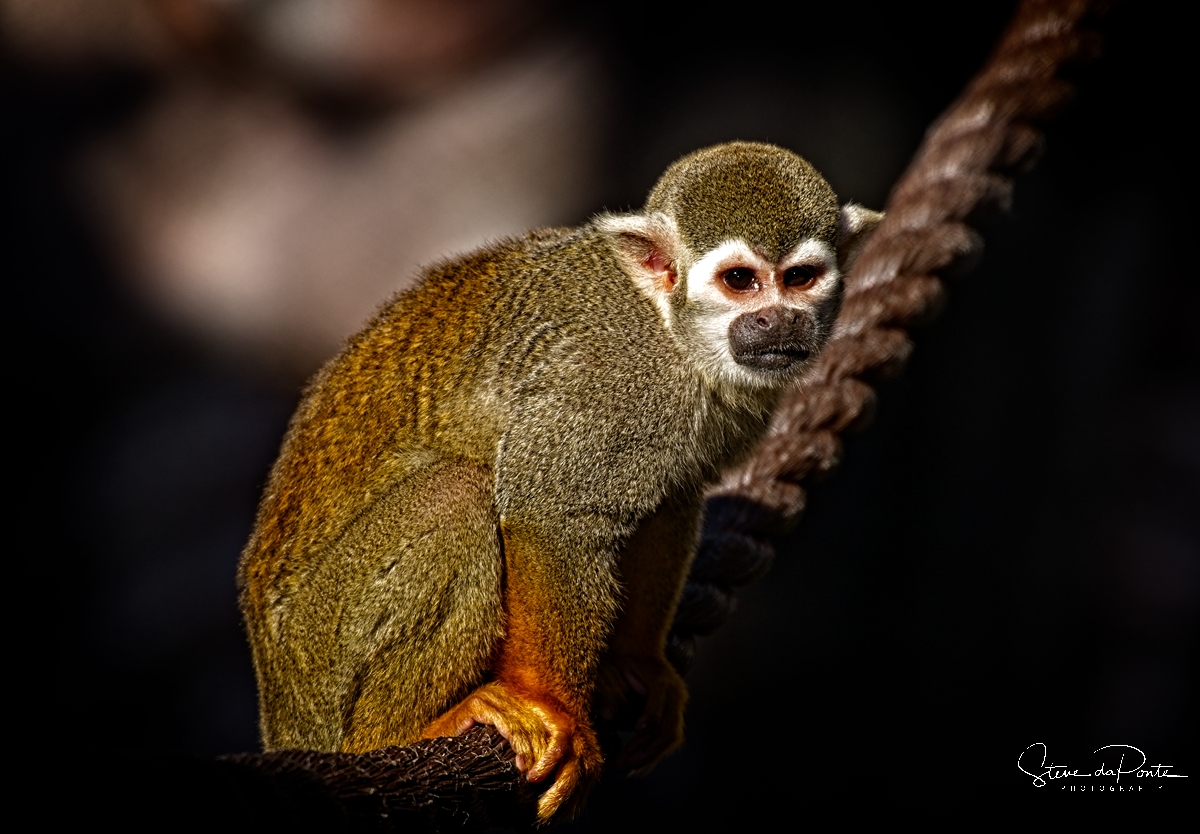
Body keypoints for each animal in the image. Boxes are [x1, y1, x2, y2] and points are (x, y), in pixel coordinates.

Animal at [237, 141, 882, 823]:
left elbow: (670, 502)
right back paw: (402, 731)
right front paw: (559, 712)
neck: (673, 332)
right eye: (741, 281)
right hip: (318, 658)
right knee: (455, 498)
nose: (777, 323)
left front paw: (638, 665)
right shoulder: (606, 379)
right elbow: (551, 513)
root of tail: (278, 712)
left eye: (800, 278)